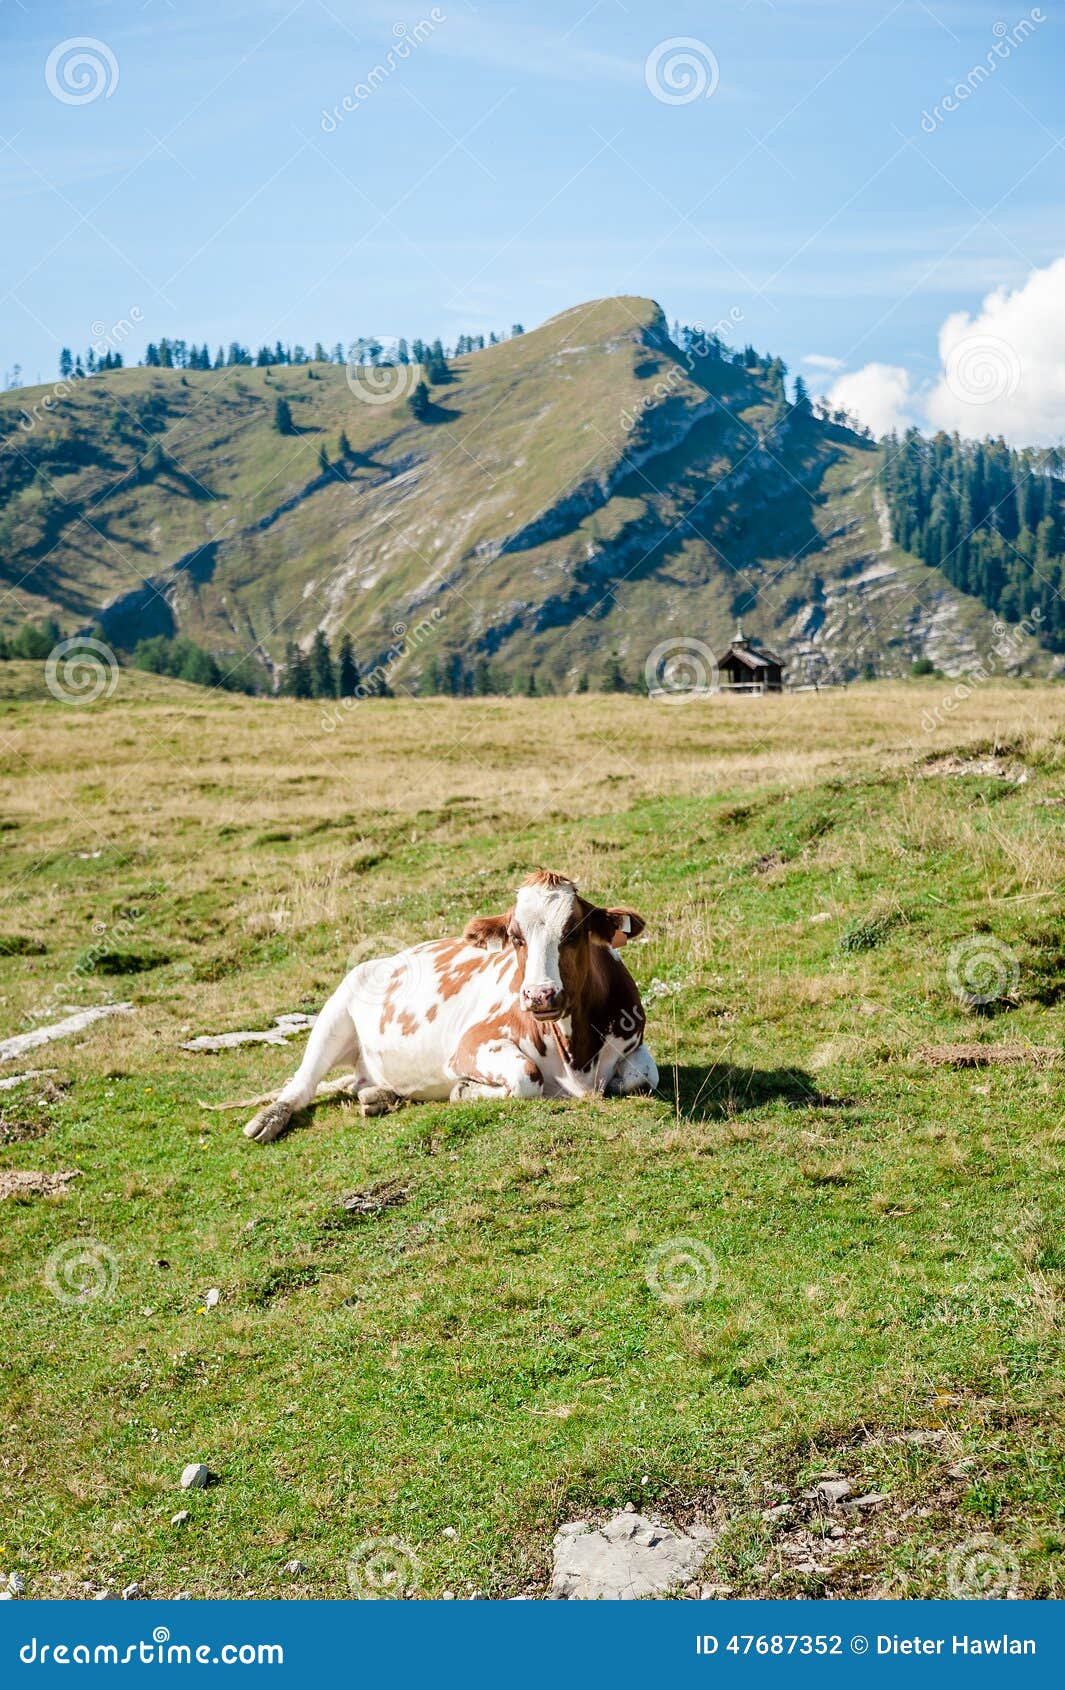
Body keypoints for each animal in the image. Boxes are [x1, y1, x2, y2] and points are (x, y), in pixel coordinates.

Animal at [242, 871, 658, 1143]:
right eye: (515, 937)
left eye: (573, 932)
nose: (539, 995)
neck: (578, 1058)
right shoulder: (470, 1046)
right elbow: (527, 1077)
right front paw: (463, 1091)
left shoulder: (633, 1041)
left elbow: (643, 1076)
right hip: (333, 1015)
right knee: (301, 1085)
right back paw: (268, 1120)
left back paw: (379, 1096)